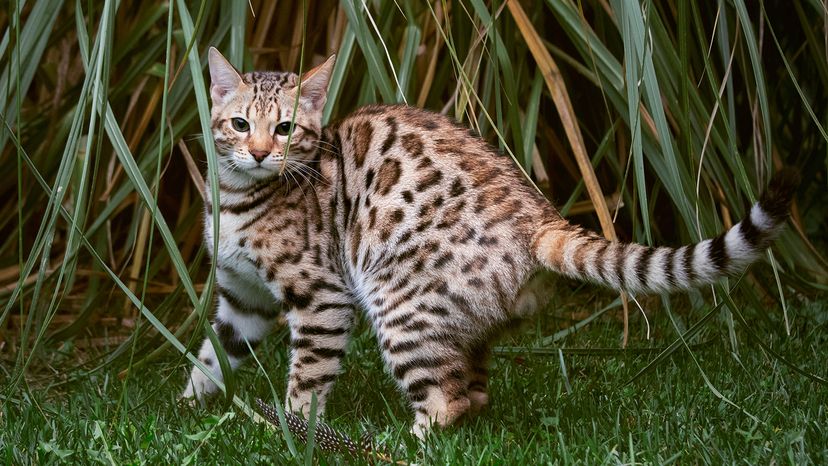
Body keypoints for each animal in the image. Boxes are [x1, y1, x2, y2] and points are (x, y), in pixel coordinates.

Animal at [181, 47, 796, 436]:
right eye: (240, 124)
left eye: (285, 129)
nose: (261, 152)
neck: (236, 199)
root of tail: (542, 217)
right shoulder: (242, 299)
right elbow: (212, 355)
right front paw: (187, 406)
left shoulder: (321, 297)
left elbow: (306, 382)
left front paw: (290, 434)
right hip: (460, 319)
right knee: (473, 391)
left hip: (397, 303)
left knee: (448, 400)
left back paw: (402, 445)